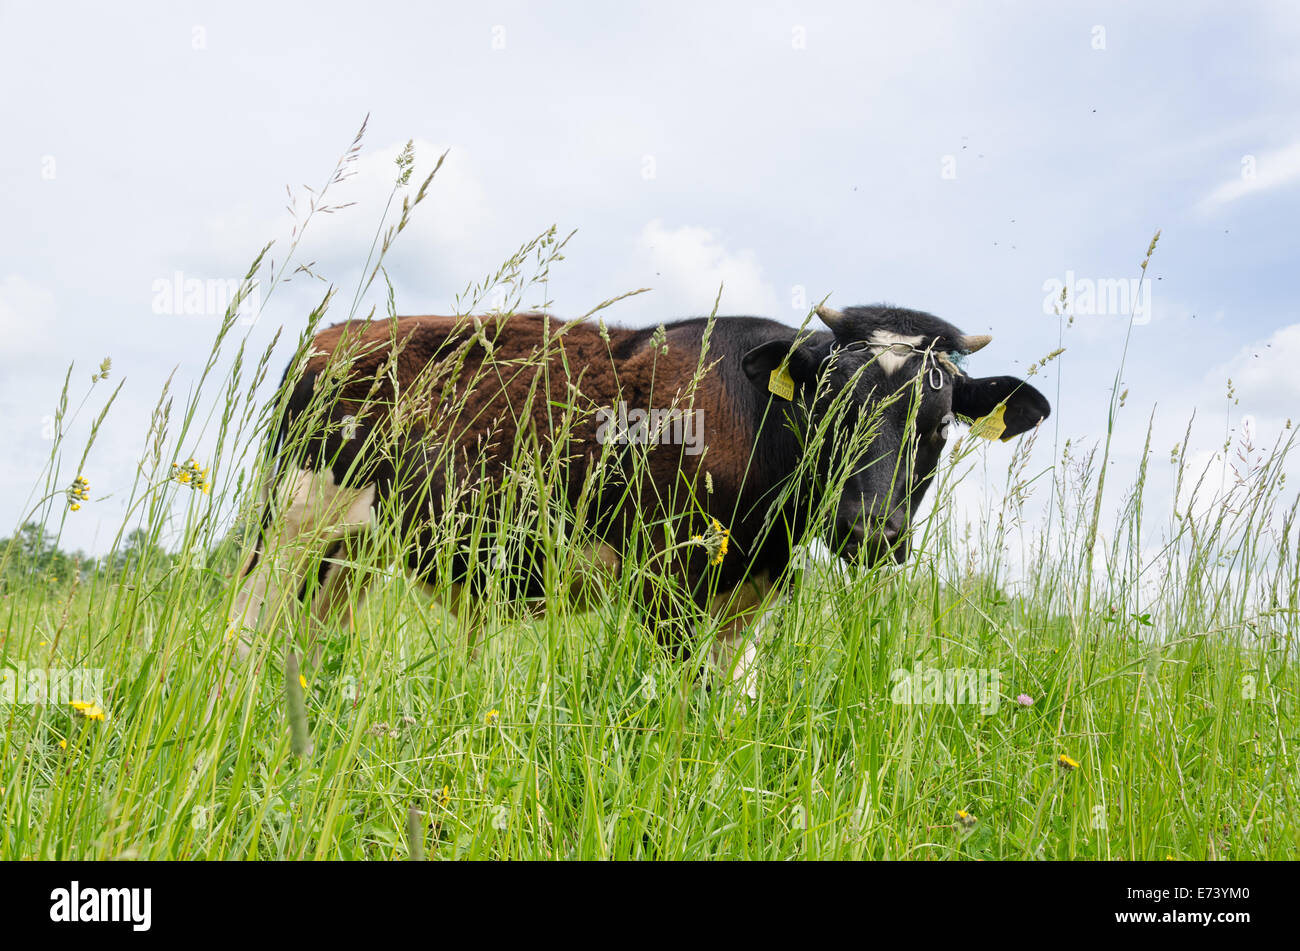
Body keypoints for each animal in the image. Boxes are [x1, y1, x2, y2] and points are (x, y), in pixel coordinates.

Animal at [227, 304, 1049, 696]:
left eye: (937, 424)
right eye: (829, 409)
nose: (870, 530)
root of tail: (336, 336)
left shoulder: (752, 592)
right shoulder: (664, 579)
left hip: (350, 556)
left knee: (306, 640)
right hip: (288, 527)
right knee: (246, 632)